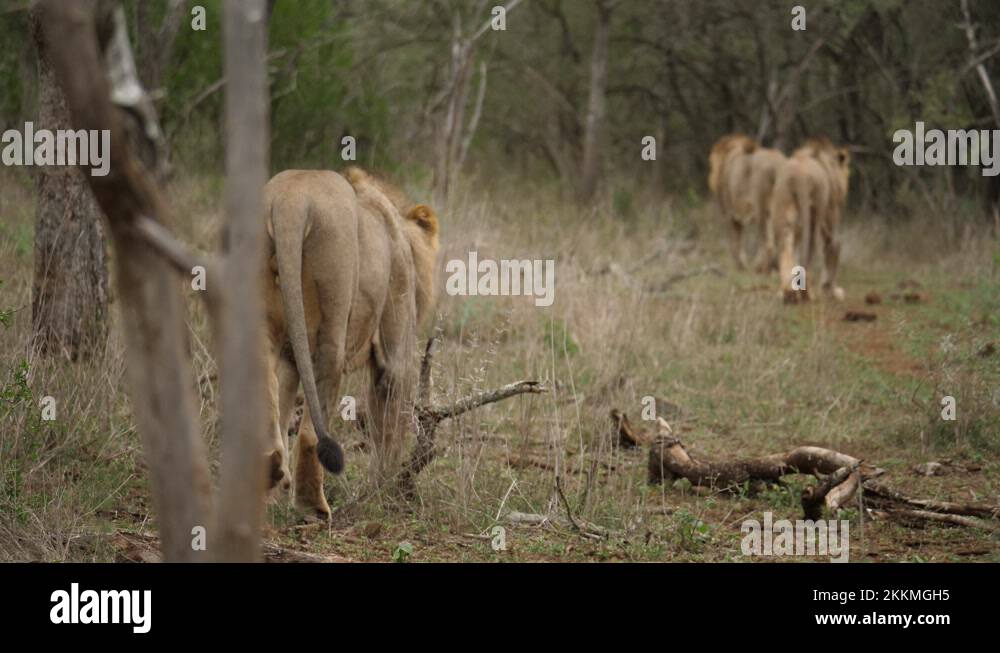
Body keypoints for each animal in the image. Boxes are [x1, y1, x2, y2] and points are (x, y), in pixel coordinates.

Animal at [261, 166, 439, 518]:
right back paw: (314, 508)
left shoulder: (290, 356)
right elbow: (388, 423)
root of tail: (290, 201)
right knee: (310, 432)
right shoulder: (396, 352)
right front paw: (384, 488)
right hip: (334, 320)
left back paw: (270, 481)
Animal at [708, 134, 786, 271]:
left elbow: (735, 244)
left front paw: (740, 268)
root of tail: (777, 166)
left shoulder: (730, 215)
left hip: (762, 210)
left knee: (768, 244)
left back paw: (759, 268)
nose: (709, 177)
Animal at [767, 137, 850, 303]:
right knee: (810, 251)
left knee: (786, 249)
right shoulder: (830, 217)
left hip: (782, 209)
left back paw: (789, 293)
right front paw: (832, 291)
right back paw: (807, 294)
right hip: (813, 214)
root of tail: (797, 176)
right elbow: (833, 247)